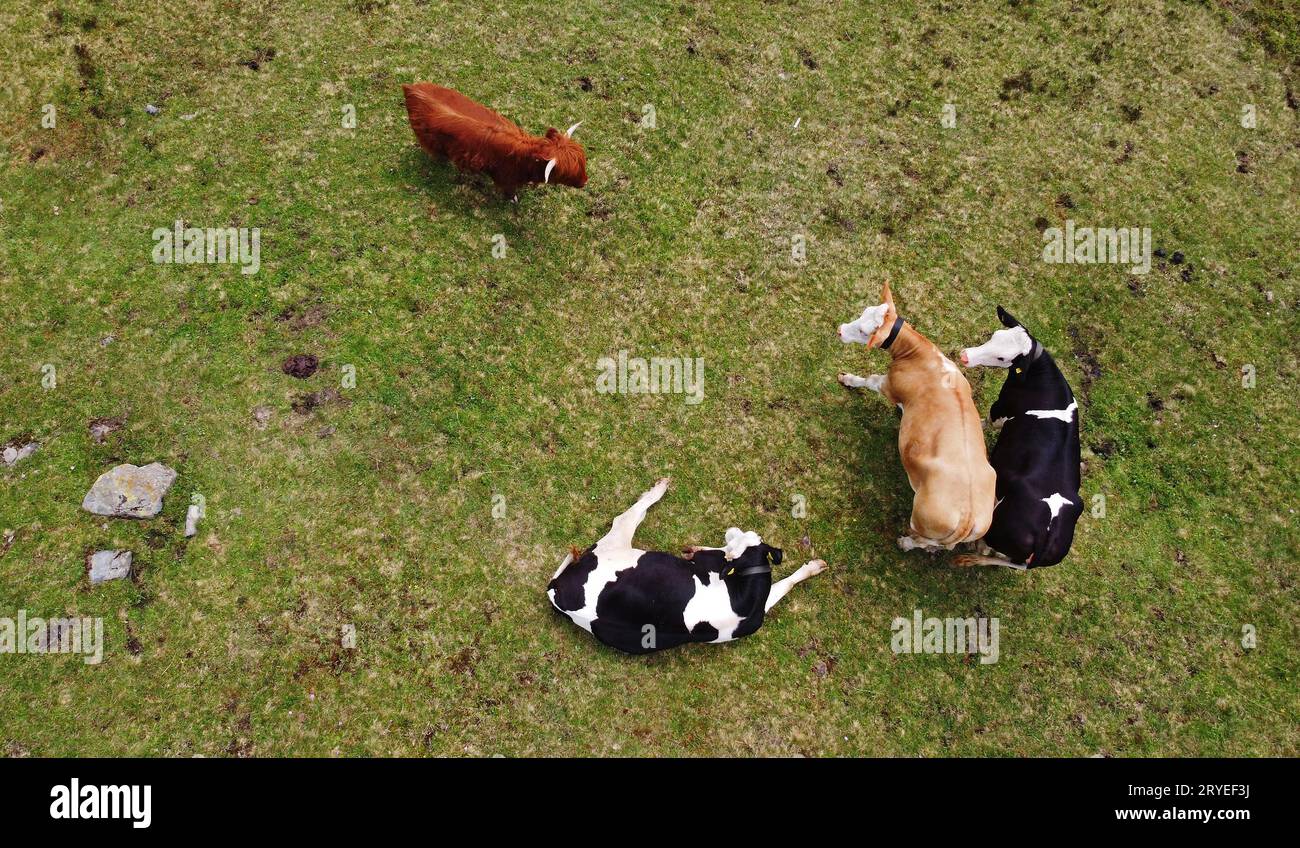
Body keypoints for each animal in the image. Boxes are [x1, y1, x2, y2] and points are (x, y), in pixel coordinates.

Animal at [401, 83, 587, 200]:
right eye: (565, 173)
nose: (585, 181)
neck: (526, 157)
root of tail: (411, 88)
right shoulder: (505, 178)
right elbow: (509, 191)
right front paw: (513, 199)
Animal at [547, 478, 827, 654]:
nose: (732, 529)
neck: (746, 601)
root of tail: (558, 591)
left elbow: (784, 583)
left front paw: (814, 566)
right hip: (616, 543)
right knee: (626, 516)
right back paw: (659, 488)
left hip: (616, 545)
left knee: (629, 517)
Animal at [837, 281, 997, 553]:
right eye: (863, 311)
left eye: (862, 330)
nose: (839, 331)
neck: (920, 355)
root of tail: (967, 514)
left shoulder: (889, 385)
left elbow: (869, 380)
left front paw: (848, 379)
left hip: (921, 517)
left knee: (923, 539)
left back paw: (905, 542)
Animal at [952, 306, 1083, 569]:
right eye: (994, 335)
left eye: (1004, 358)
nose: (965, 356)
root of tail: (1046, 536)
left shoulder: (1001, 407)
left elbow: (987, 420)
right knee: (1012, 562)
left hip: (997, 527)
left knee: (987, 543)